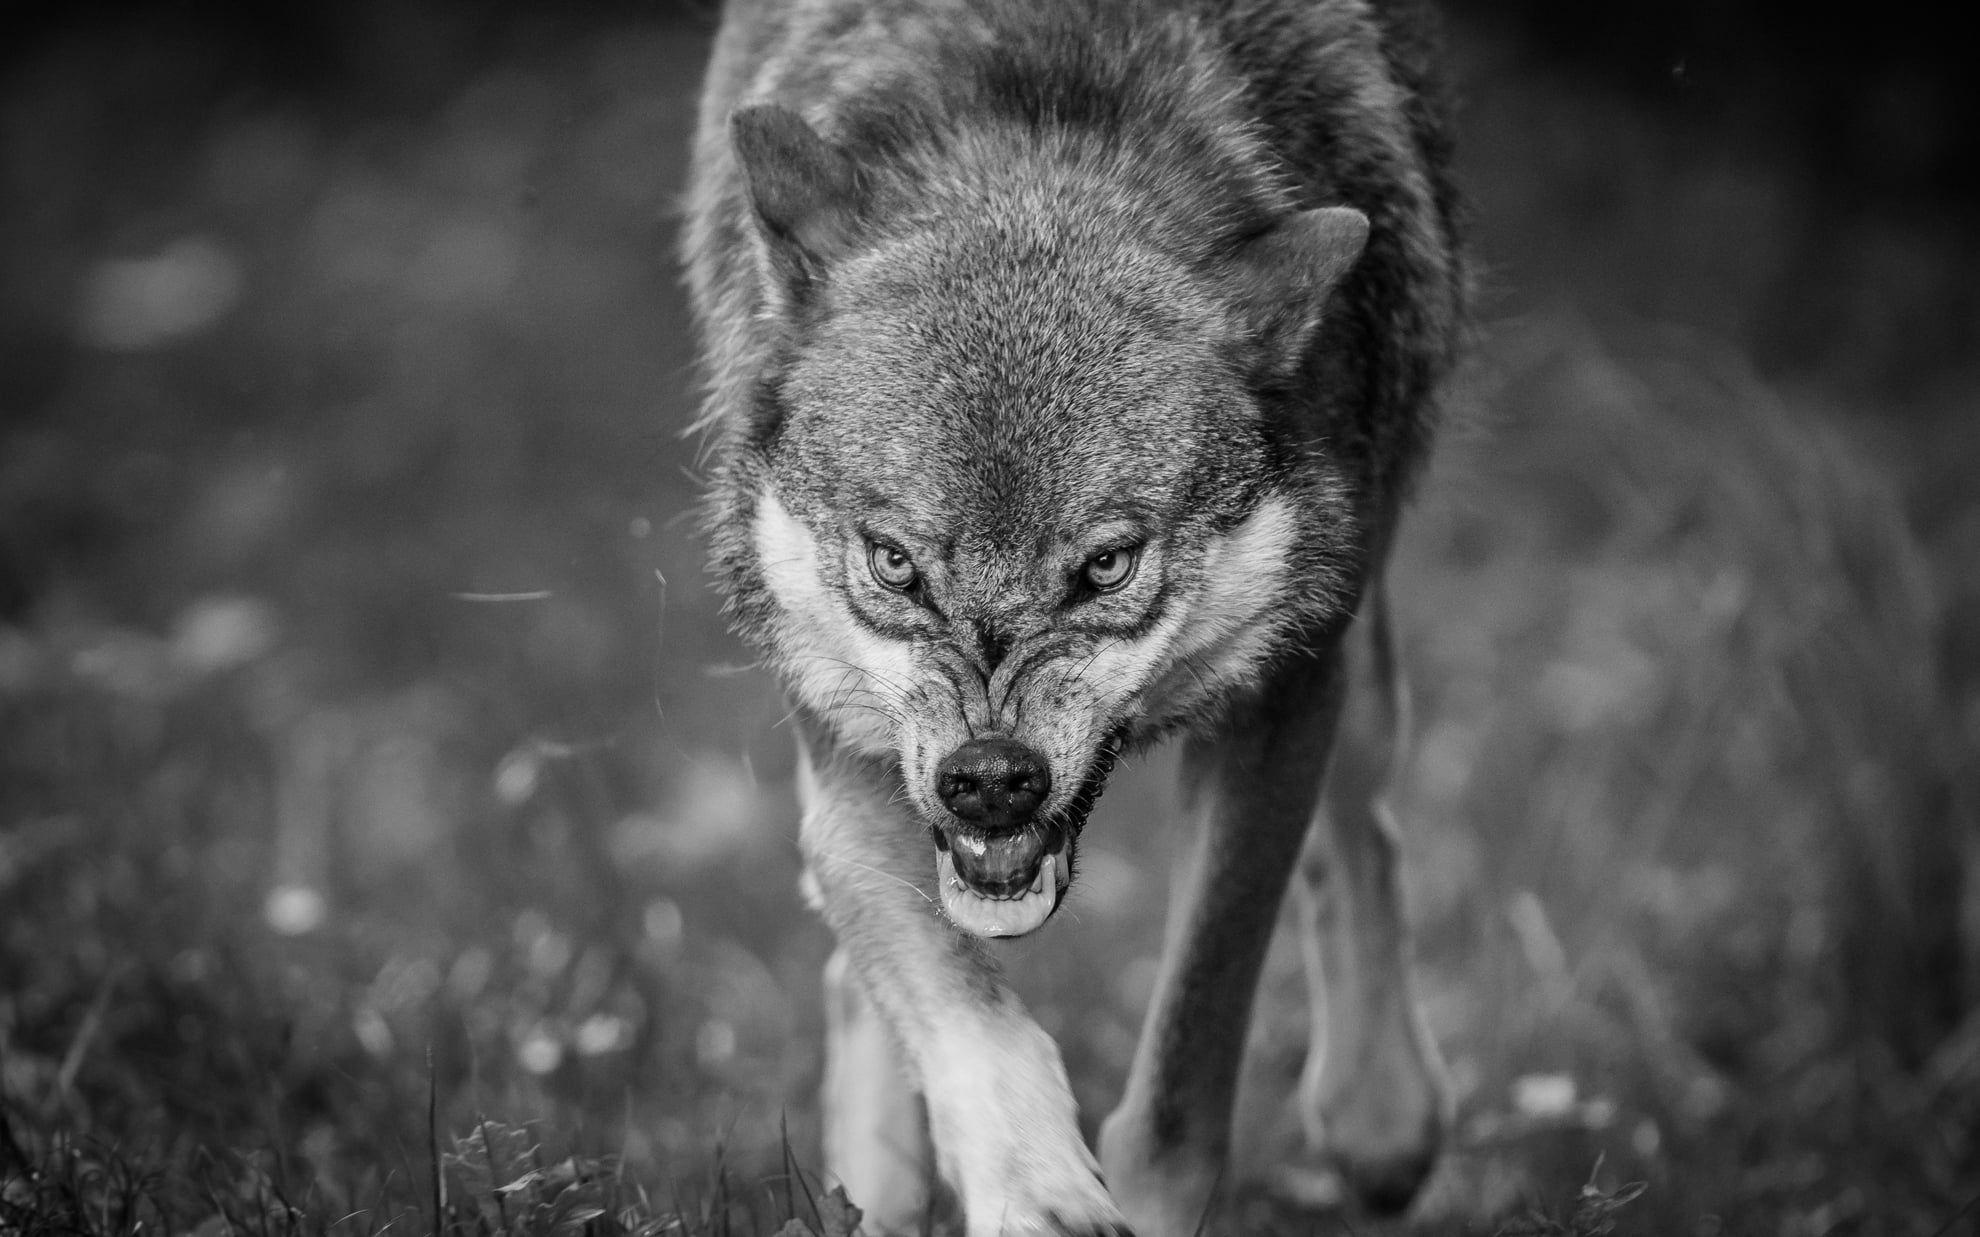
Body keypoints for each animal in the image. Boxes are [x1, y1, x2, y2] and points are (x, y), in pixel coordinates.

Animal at [681, 0, 1466, 1231]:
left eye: (1106, 565)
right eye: (896, 563)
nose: (990, 780)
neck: (1039, 144)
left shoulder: (1280, 703)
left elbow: (1184, 1081)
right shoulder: (848, 763)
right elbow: (965, 1015)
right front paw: (1032, 1187)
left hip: (1353, 646)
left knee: (1361, 826)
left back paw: (1382, 1119)